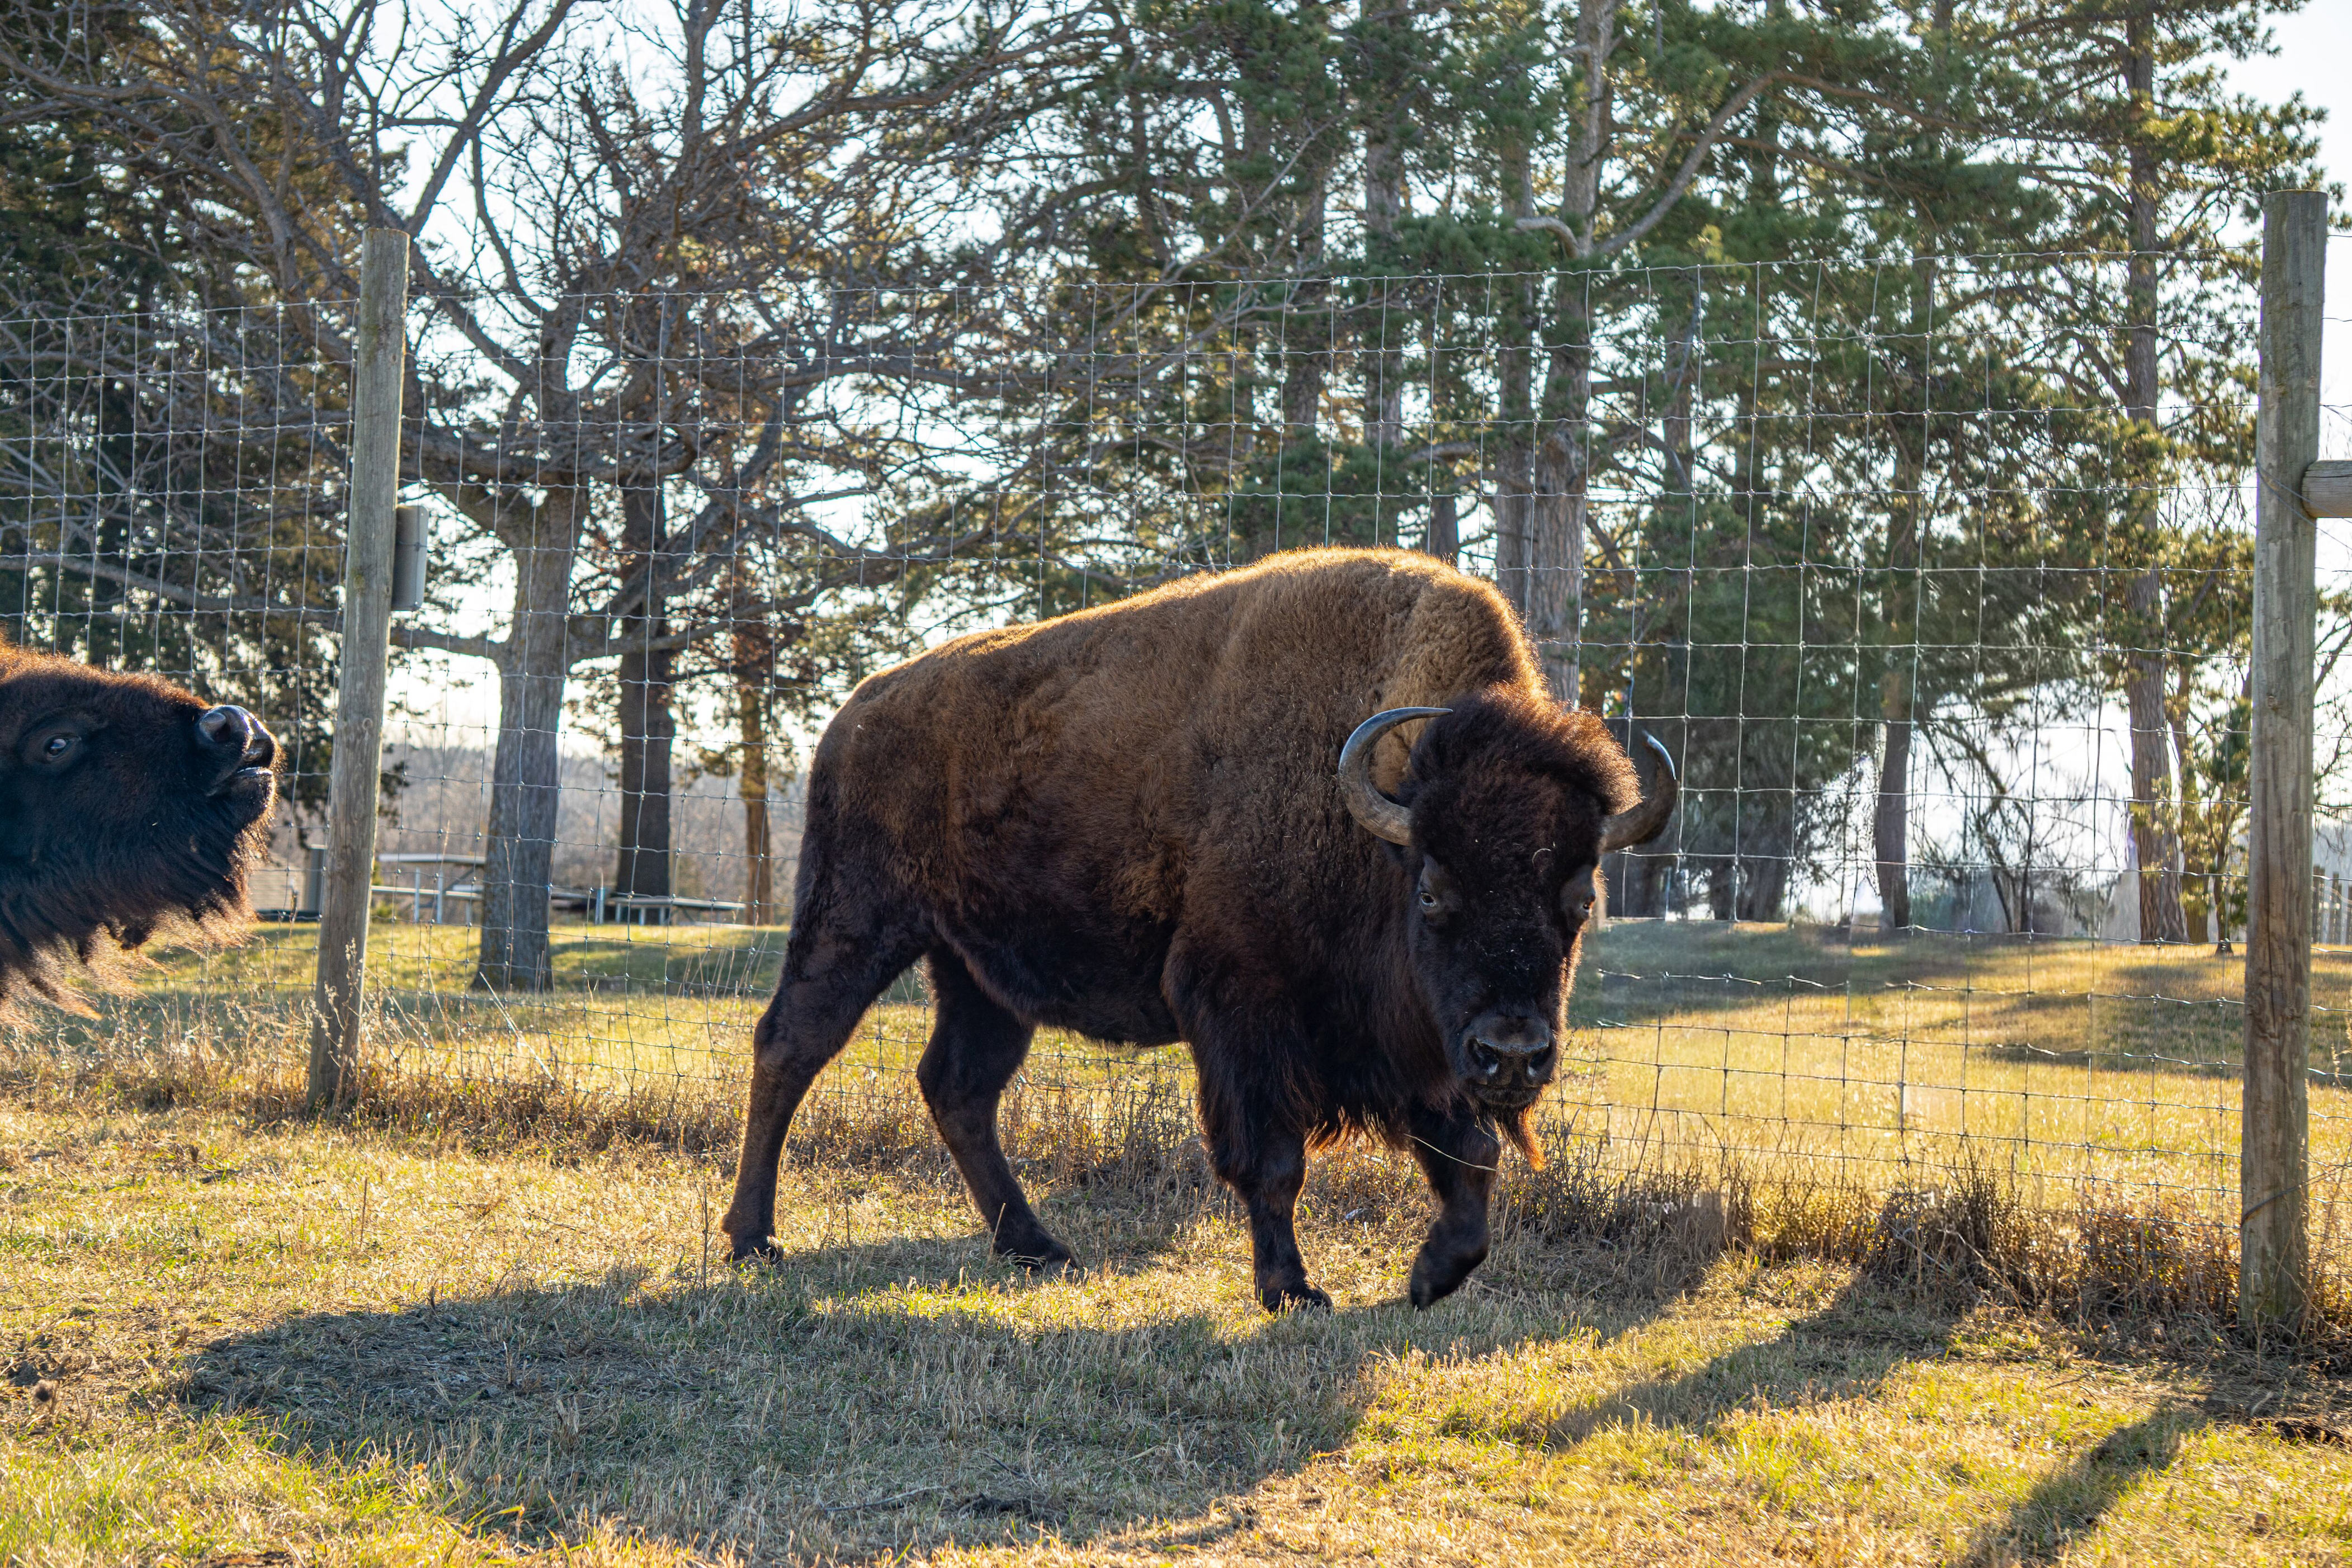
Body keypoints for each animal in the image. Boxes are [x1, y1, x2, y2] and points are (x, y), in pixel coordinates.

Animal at [723, 547, 1676, 1310]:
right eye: (1435, 892)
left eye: (1579, 900)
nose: (1513, 1054)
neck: (1374, 817)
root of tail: (853, 714)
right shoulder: (1240, 1007)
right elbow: (1273, 1161)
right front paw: (1292, 1290)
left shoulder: (1418, 1047)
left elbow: (1468, 1155)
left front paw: (1431, 1277)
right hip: (856, 917)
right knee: (792, 1044)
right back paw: (753, 1238)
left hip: (978, 973)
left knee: (958, 1086)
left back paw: (1036, 1247)